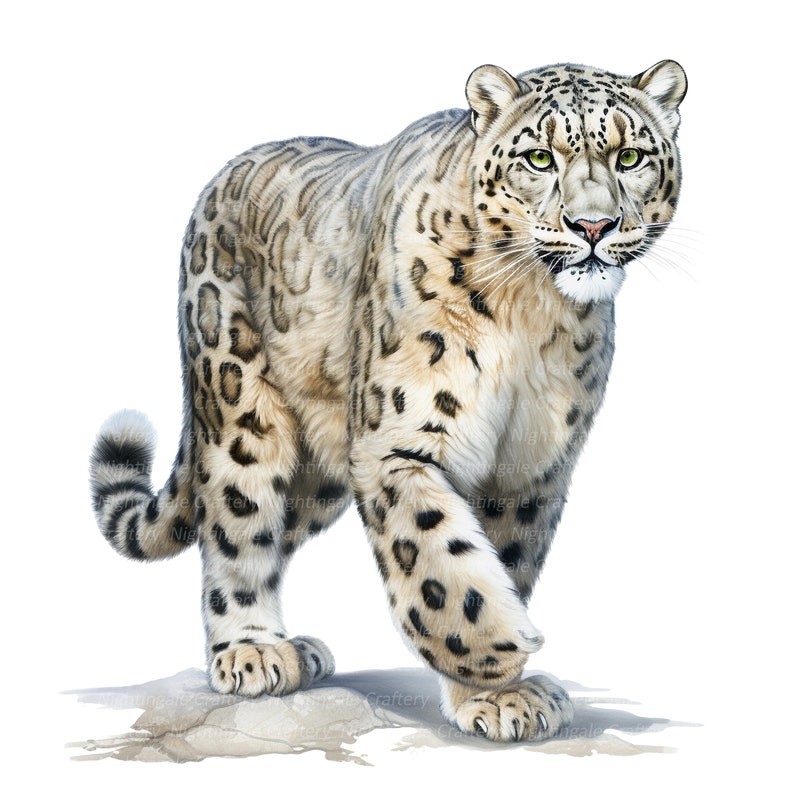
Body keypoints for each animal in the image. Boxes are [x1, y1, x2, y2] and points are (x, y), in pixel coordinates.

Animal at [89, 59, 686, 743]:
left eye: (631, 155)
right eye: (539, 157)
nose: (594, 226)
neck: (533, 307)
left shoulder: (531, 468)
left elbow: (506, 560)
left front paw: (499, 694)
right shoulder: (395, 441)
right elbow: (438, 563)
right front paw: (497, 655)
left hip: (320, 474)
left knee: (277, 525)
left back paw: (300, 649)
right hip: (240, 410)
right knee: (236, 528)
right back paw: (254, 649)